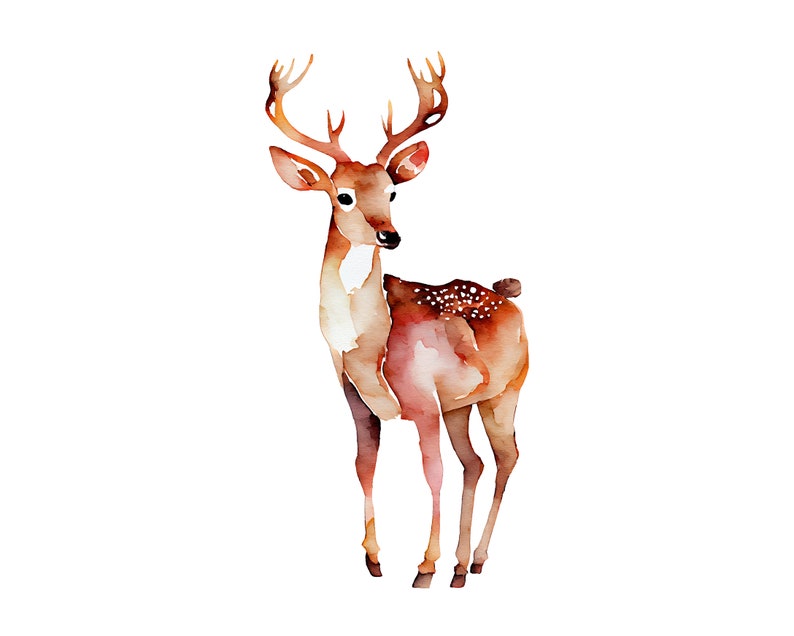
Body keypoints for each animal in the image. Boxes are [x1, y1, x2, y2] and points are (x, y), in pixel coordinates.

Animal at [266, 54, 529, 588]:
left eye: (392, 192)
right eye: (343, 195)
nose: (390, 236)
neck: (369, 351)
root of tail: (508, 293)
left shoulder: (423, 400)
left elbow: (432, 472)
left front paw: (422, 566)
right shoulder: (356, 400)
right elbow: (363, 465)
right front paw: (373, 559)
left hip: (507, 390)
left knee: (506, 457)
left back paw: (475, 559)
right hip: (460, 406)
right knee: (474, 462)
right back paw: (460, 566)